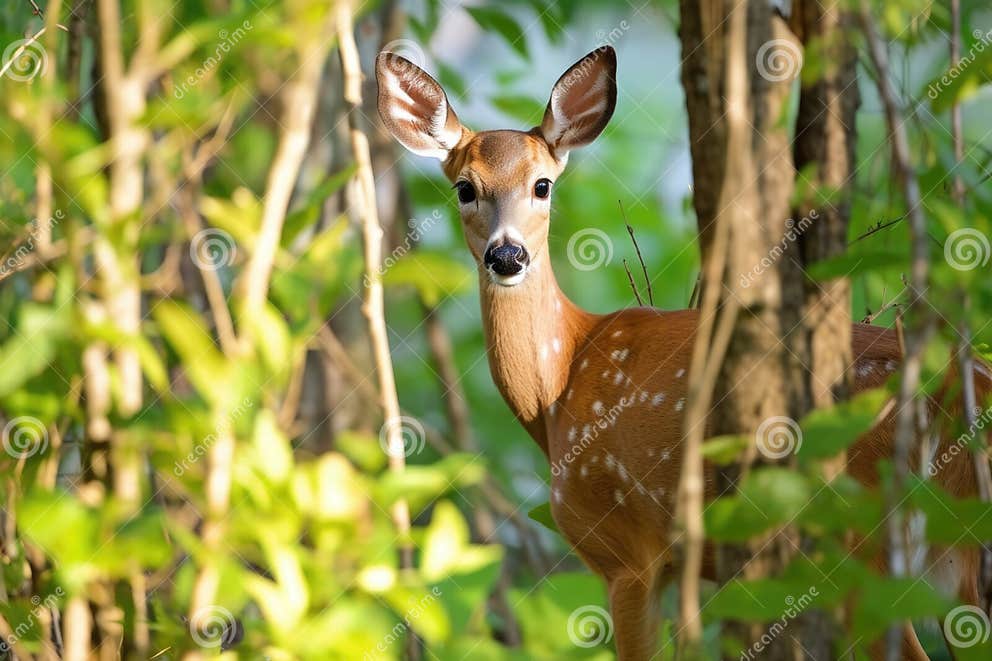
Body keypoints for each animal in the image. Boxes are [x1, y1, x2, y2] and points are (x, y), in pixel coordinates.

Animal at [375, 46, 992, 660]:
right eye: (465, 188)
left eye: (542, 184)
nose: (507, 256)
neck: (557, 386)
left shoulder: (625, 551)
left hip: (865, 542)